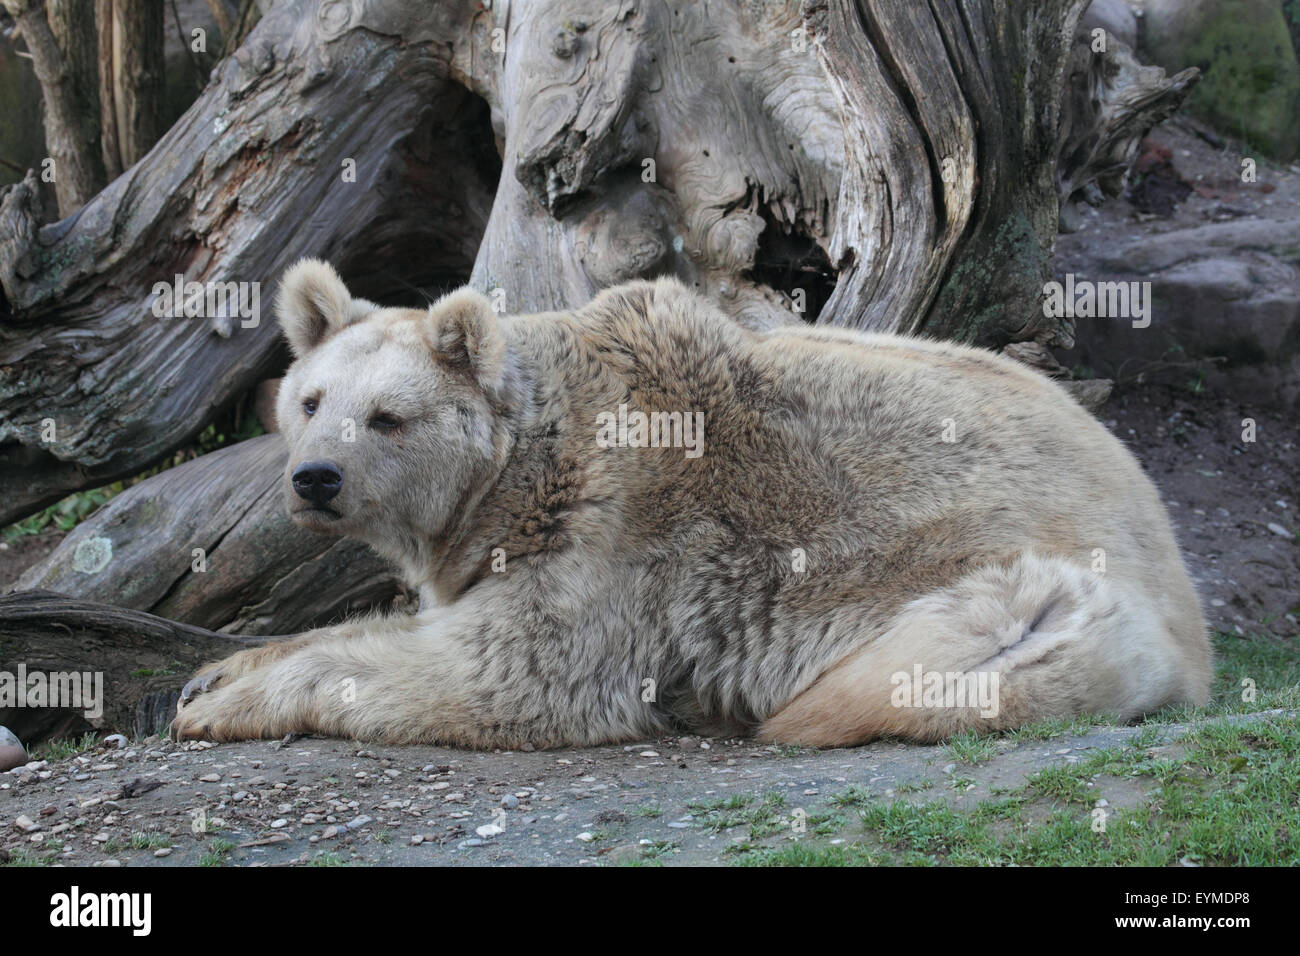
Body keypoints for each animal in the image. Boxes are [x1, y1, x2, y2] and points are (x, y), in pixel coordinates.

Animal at [171, 259, 1212, 747]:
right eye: (312, 401)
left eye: (388, 417)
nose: (315, 479)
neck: (537, 459)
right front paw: (211, 674)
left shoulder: (620, 530)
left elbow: (512, 673)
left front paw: (221, 703)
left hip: (1051, 591)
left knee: (941, 659)